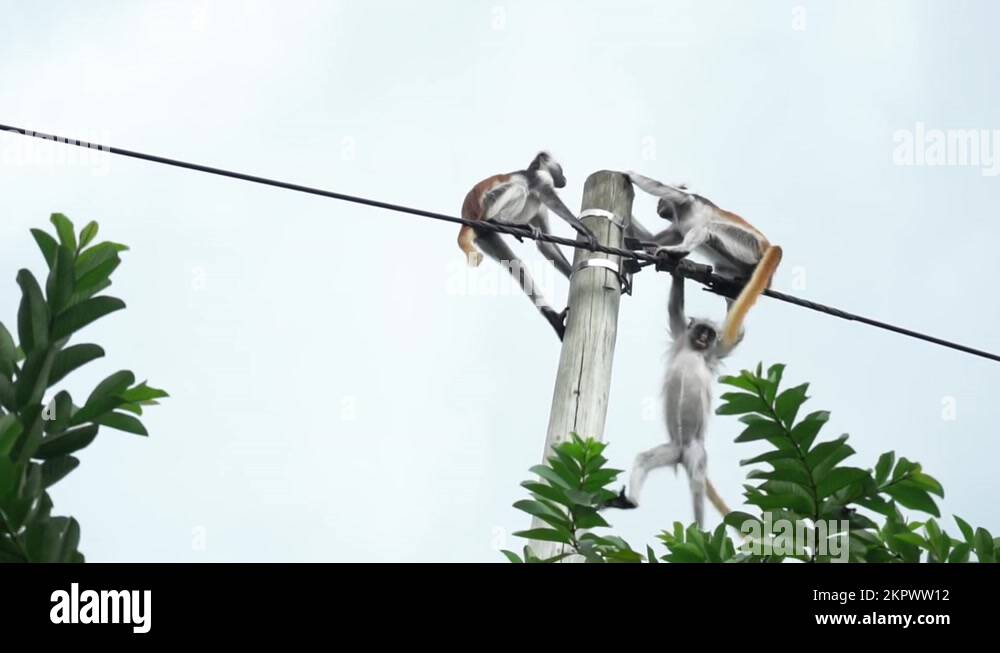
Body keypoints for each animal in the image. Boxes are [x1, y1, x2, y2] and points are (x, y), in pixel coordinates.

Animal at [458, 152, 597, 339]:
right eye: (560, 169)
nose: (564, 177)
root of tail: (467, 214)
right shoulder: (539, 178)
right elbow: (549, 198)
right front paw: (584, 229)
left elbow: (545, 246)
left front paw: (572, 274)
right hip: (487, 205)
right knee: (519, 188)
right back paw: (498, 220)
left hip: (484, 235)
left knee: (515, 264)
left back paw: (553, 318)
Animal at [604, 265, 741, 527]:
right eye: (701, 330)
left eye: (710, 334)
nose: (704, 338)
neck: (695, 350)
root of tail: (681, 453)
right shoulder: (680, 335)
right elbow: (674, 306)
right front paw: (677, 269)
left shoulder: (715, 353)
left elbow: (734, 337)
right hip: (670, 450)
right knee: (643, 459)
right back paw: (630, 502)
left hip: (696, 450)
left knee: (697, 482)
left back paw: (700, 531)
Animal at [626, 172, 782, 346]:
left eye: (660, 202)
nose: (658, 207)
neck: (679, 213)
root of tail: (766, 246)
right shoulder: (677, 227)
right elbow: (650, 240)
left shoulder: (686, 199)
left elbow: (658, 186)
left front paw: (628, 173)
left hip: (748, 246)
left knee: (708, 228)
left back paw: (680, 252)